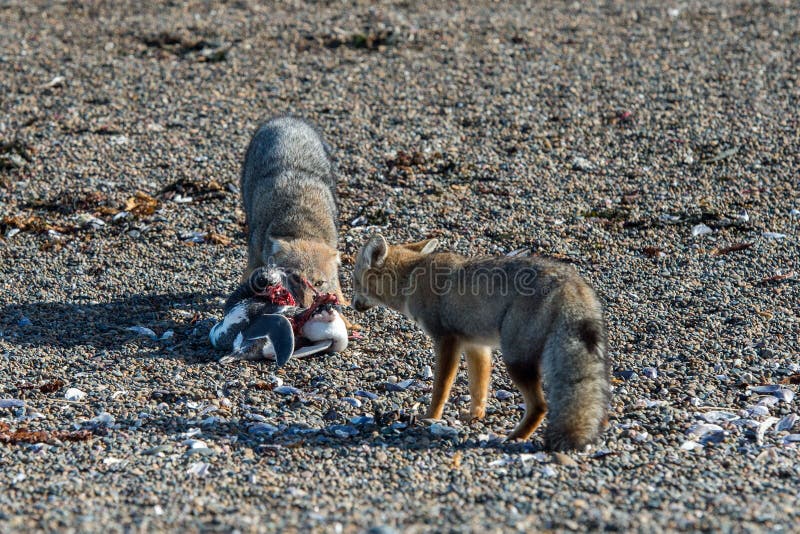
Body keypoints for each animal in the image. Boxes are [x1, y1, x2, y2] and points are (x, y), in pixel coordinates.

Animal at [240, 116, 344, 307]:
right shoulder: (255, 256)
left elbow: (336, 283)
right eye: (295, 278)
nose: (305, 306)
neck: (301, 223)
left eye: (319, 283)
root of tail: (287, 118)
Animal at [351, 235, 610, 451]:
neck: (411, 276)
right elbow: (479, 387)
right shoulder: (477, 346)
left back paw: (515, 438)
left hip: (515, 360)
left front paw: (431, 417)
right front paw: (474, 416)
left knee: (540, 406)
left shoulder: (446, 340)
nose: (351, 304)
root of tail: (570, 281)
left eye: (353, 281)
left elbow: (441, 387)